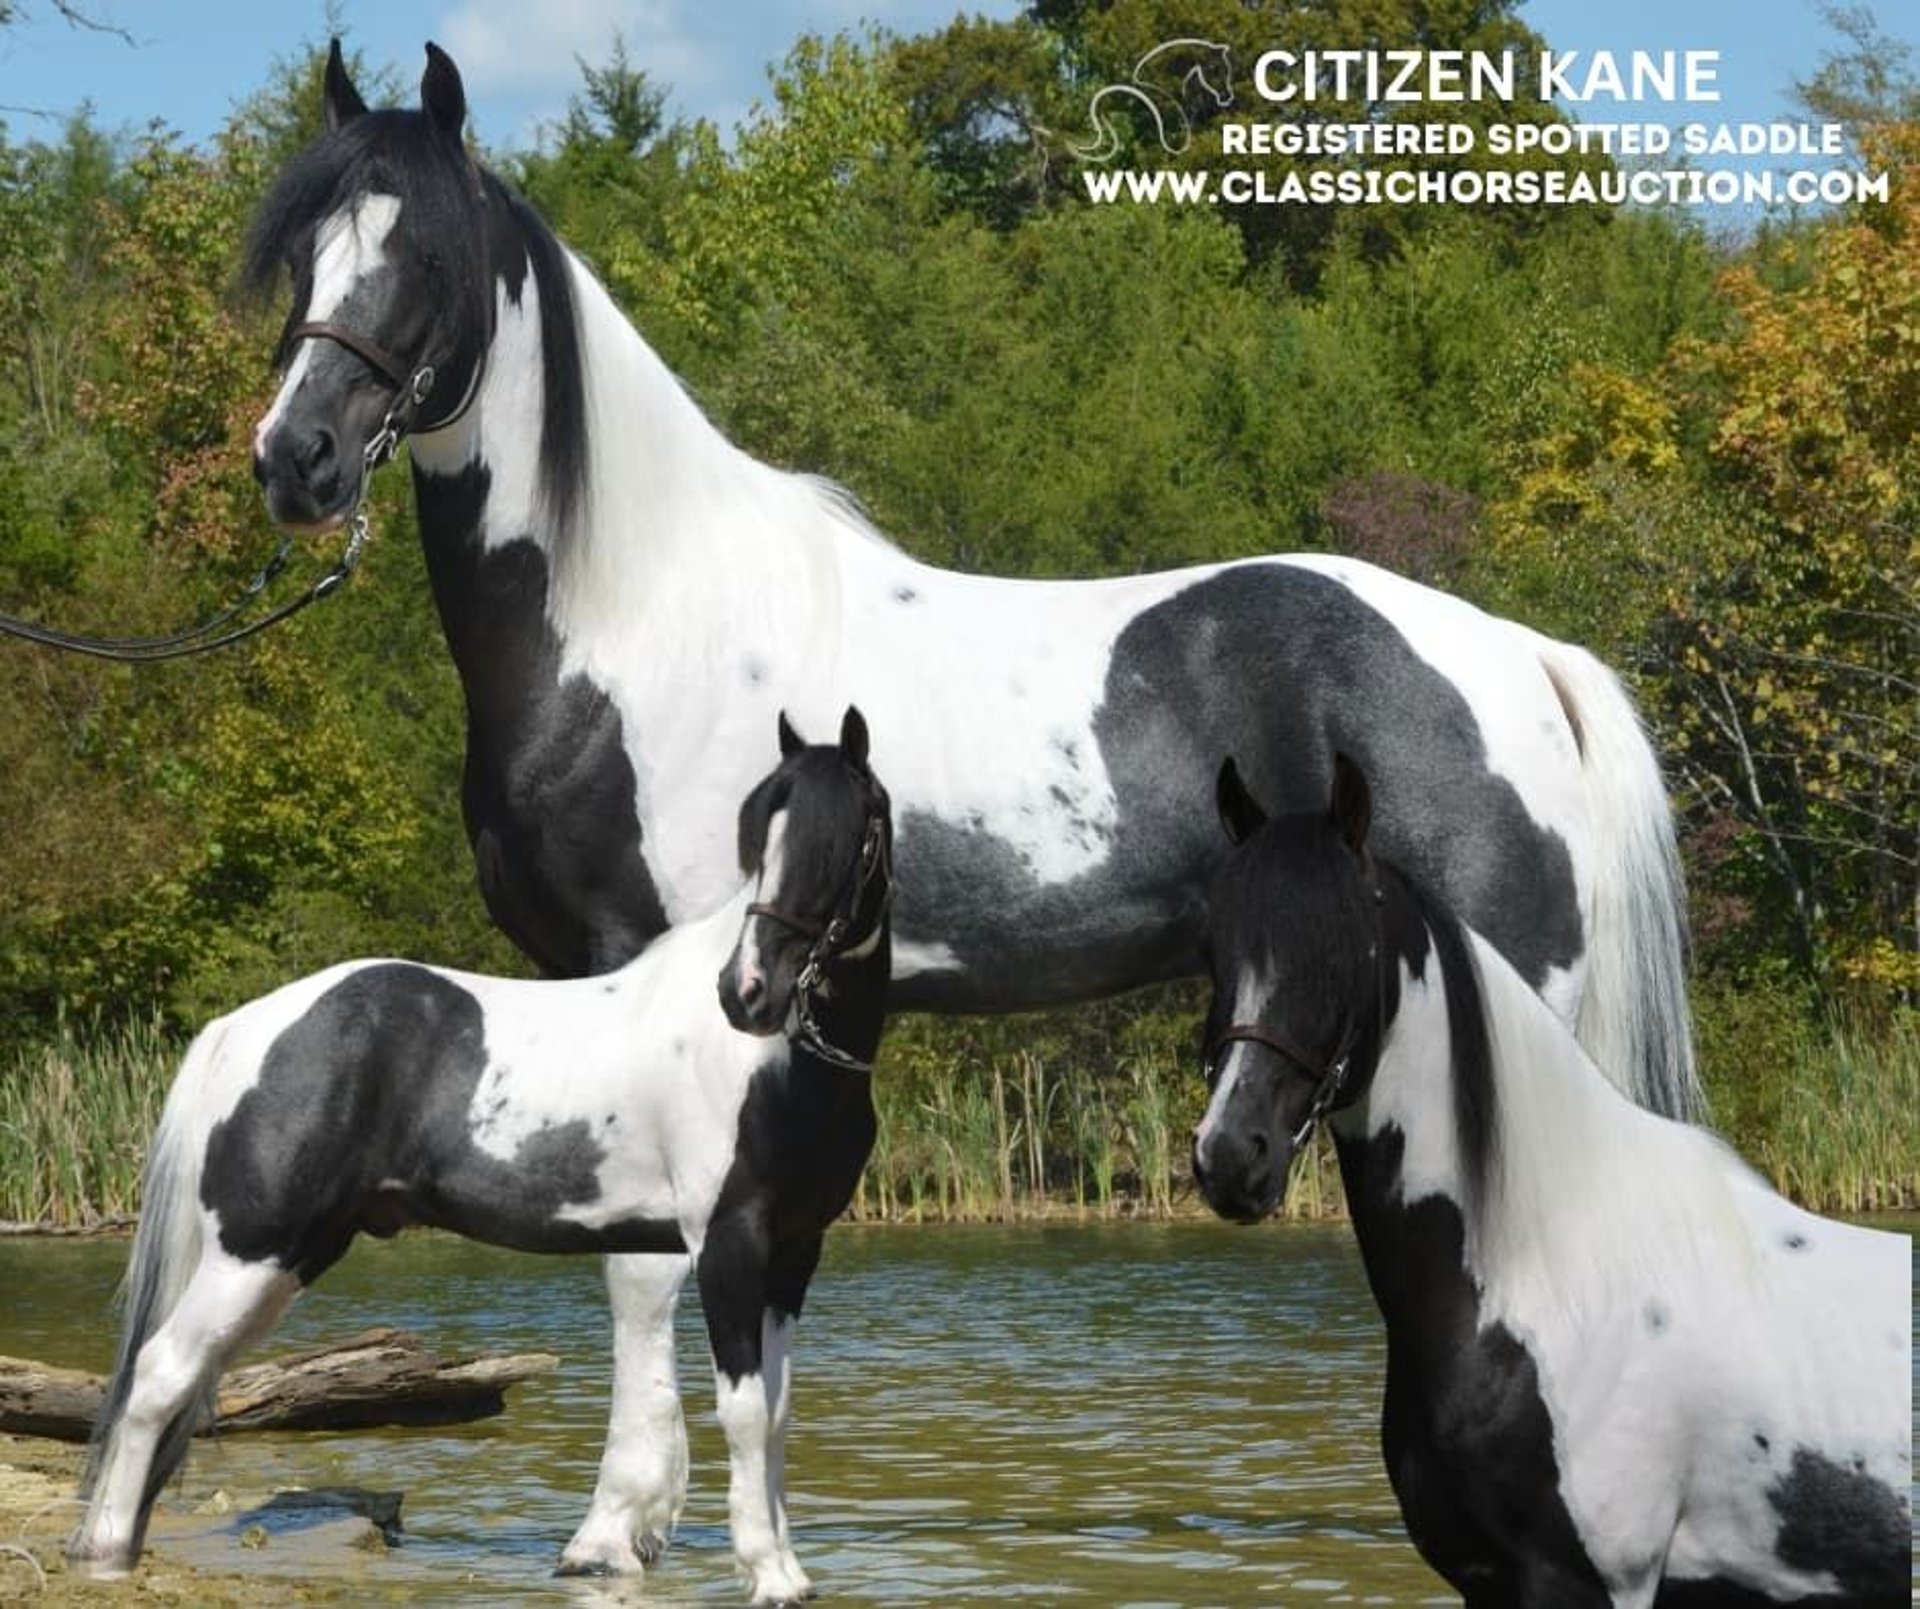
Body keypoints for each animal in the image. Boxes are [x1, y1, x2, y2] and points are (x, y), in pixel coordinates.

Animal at [69, 707, 893, 1606]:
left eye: (845, 837)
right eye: (760, 834)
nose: (747, 993)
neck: (774, 1064)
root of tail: (243, 1027)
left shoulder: (792, 1252)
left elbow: (775, 1412)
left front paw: (790, 1569)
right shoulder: (728, 1244)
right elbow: (741, 1410)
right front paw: (766, 1574)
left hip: (292, 1253)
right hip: (251, 1252)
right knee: (159, 1374)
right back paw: (106, 1553)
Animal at [246, 39, 1699, 1572]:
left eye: (424, 251)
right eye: (304, 248)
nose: (297, 455)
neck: (639, 613)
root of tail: (1527, 663)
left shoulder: (644, 971)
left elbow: (637, 1270)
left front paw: (610, 1532)